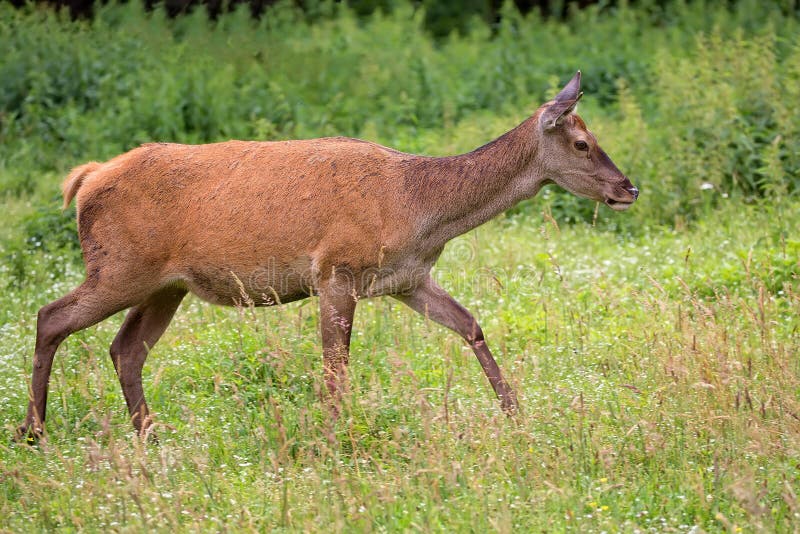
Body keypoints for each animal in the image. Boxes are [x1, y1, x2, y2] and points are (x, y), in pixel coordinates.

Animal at [16, 71, 638, 442]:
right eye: (582, 143)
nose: (628, 188)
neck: (419, 210)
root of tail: (85, 180)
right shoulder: (337, 271)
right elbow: (336, 368)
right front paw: (337, 438)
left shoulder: (407, 279)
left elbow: (470, 325)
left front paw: (516, 414)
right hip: (118, 266)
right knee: (51, 317)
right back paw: (34, 431)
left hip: (165, 285)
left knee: (126, 348)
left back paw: (149, 432)